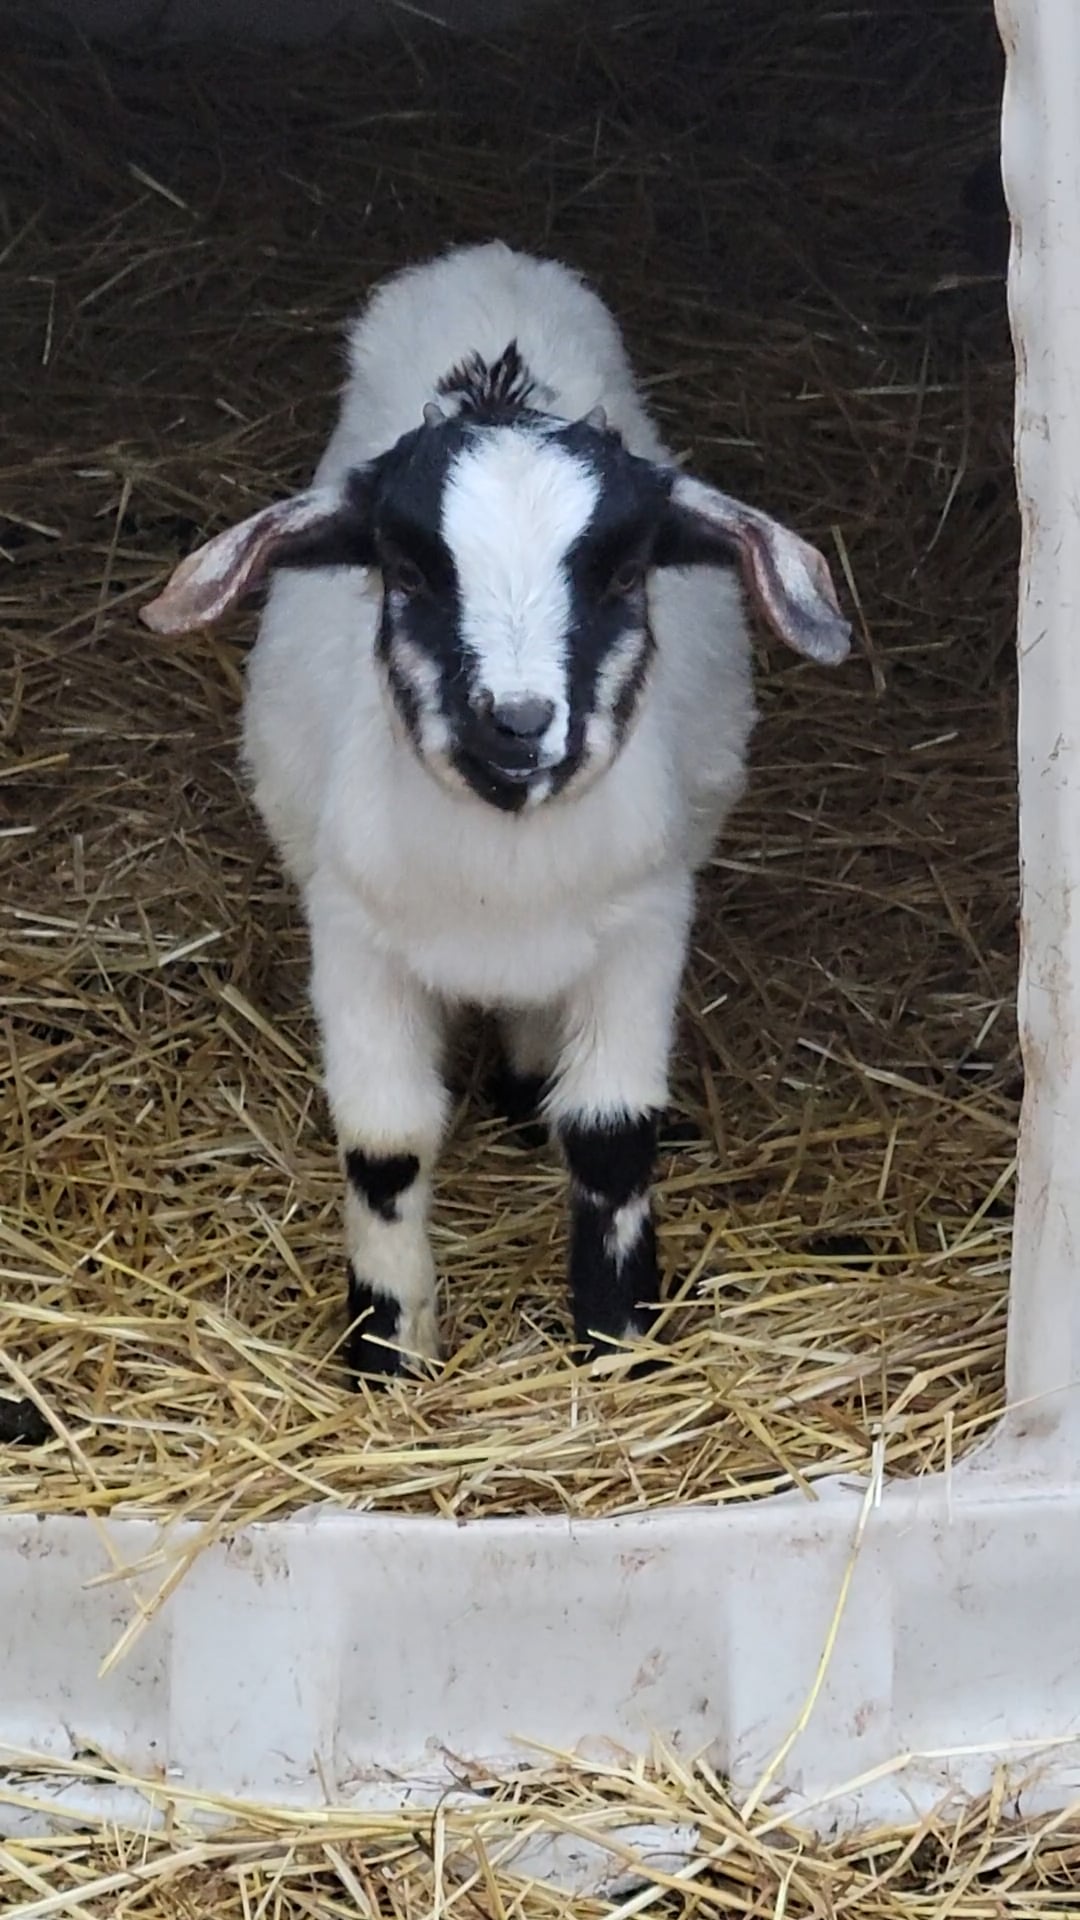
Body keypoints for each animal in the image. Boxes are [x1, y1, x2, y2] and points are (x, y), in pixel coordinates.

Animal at [141, 240, 850, 1379]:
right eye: (408, 567)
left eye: (624, 571)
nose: (517, 722)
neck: (501, 872)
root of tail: (486, 260)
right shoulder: (353, 939)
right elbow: (385, 1146)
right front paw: (388, 1350)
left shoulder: (645, 927)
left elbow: (612, 1137)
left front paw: (617, 1335)